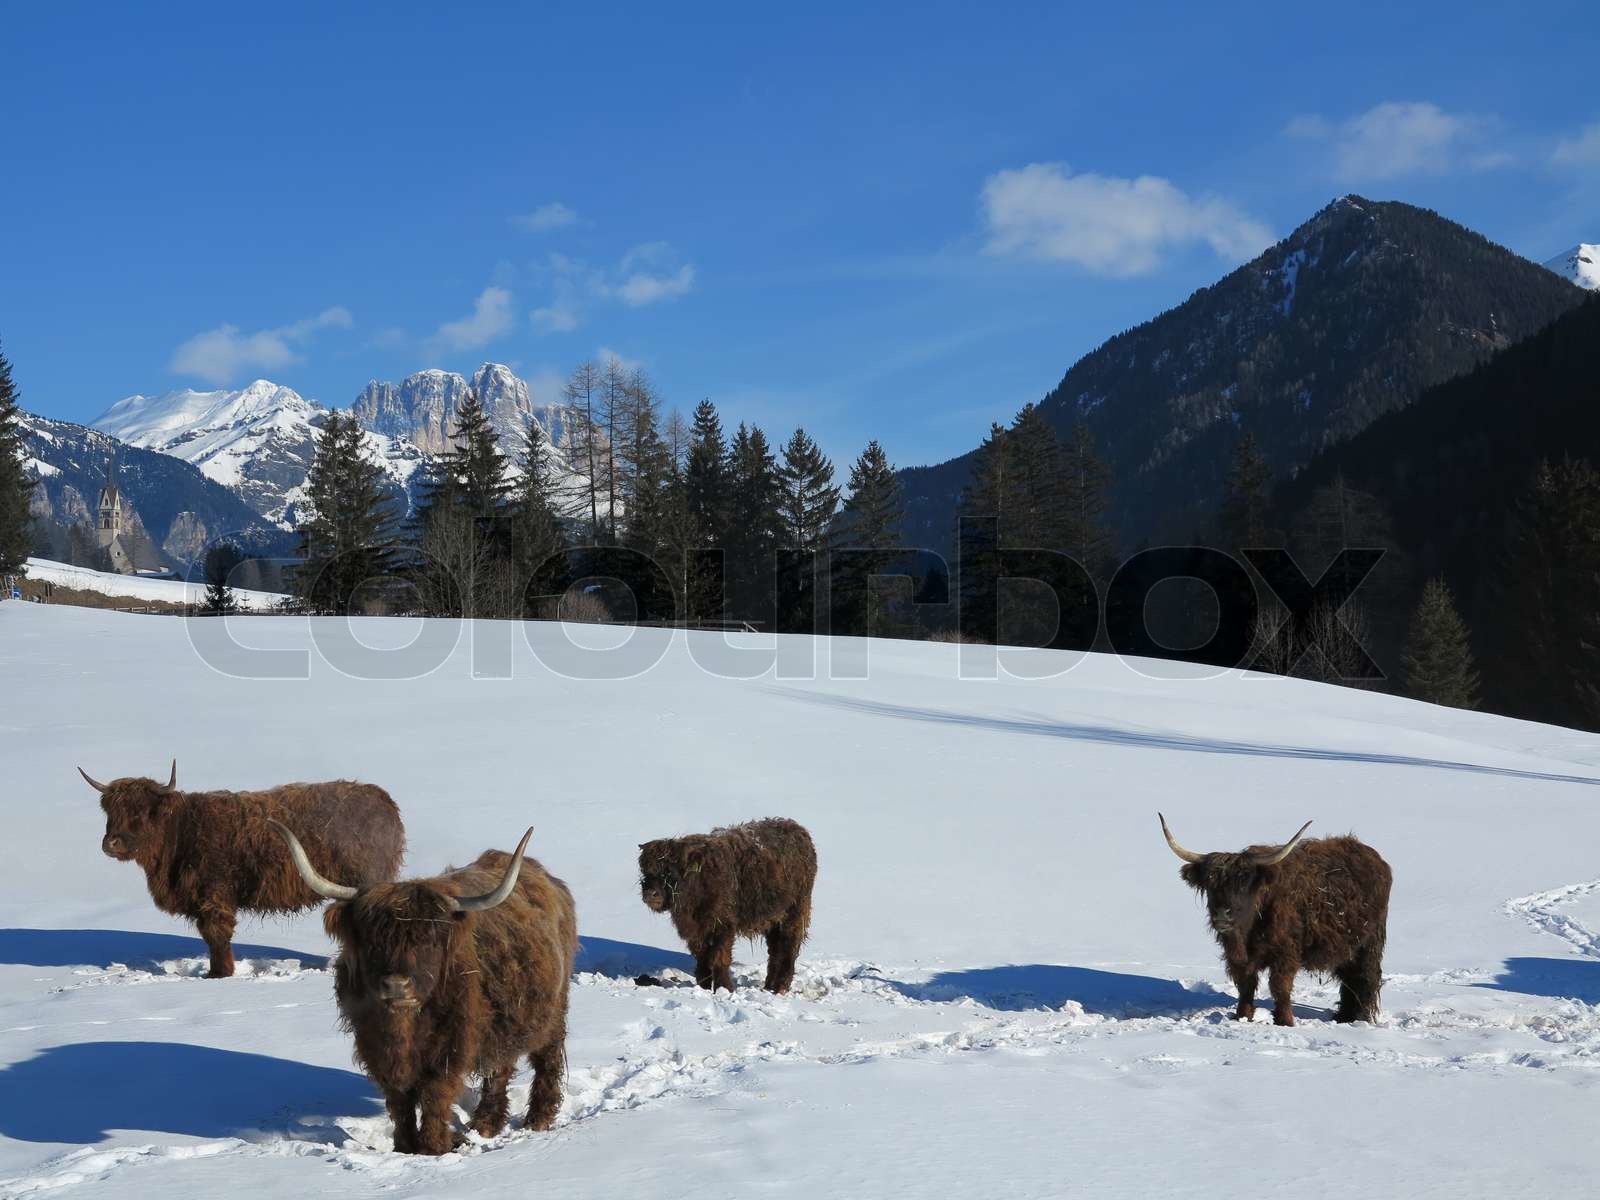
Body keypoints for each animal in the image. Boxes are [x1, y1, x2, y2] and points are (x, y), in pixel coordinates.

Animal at [78, 761, 405, 978]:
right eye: (110, 812)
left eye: (141, 812)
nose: (111, 843)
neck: (182, 832)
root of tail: (385, 802)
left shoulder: (214, 898)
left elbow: (217, 938)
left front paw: (218, 975)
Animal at [271, 820, 577, 1156]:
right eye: (373, 942)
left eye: (428, 940)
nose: (396, 985)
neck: (404, 1027)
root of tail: (549, 880)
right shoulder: (376, 1046)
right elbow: (399, 1099)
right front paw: (404, 1146)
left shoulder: (451, 1045)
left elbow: (435, 1094)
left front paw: (434, 1147)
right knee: (500, 1066)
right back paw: (485, 1125)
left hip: (553, 1009)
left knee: (546, 1058)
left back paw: (538, 1119)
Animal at [637, 817, 816, 994]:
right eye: (644, 870)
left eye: (671, 870)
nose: (650, 893)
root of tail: (798, 830)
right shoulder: (696, 932)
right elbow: (702, 960)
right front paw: (704, 986)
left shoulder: (722, 926)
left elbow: (719, 958)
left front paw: (724, 988)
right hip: (774, 919)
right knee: (775, 951)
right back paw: (769, 986)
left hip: (795, 913)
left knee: (789, 947)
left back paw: (780, 987)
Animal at [1159, 813, 1391, 1026]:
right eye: (1210, 883)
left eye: (1244, 882)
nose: (1222, 914)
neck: (1247, 933)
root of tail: (1374, 857)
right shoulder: (1237, 956)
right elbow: (1245, 985)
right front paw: (1242, 1017)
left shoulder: (1285, 954)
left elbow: (1280, 986)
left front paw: (1284, 1021)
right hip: (1347, 946)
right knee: (1349, 979)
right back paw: (1343, 1016)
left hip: (1369, 943)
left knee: (1365, 978)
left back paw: (1359, 1019)